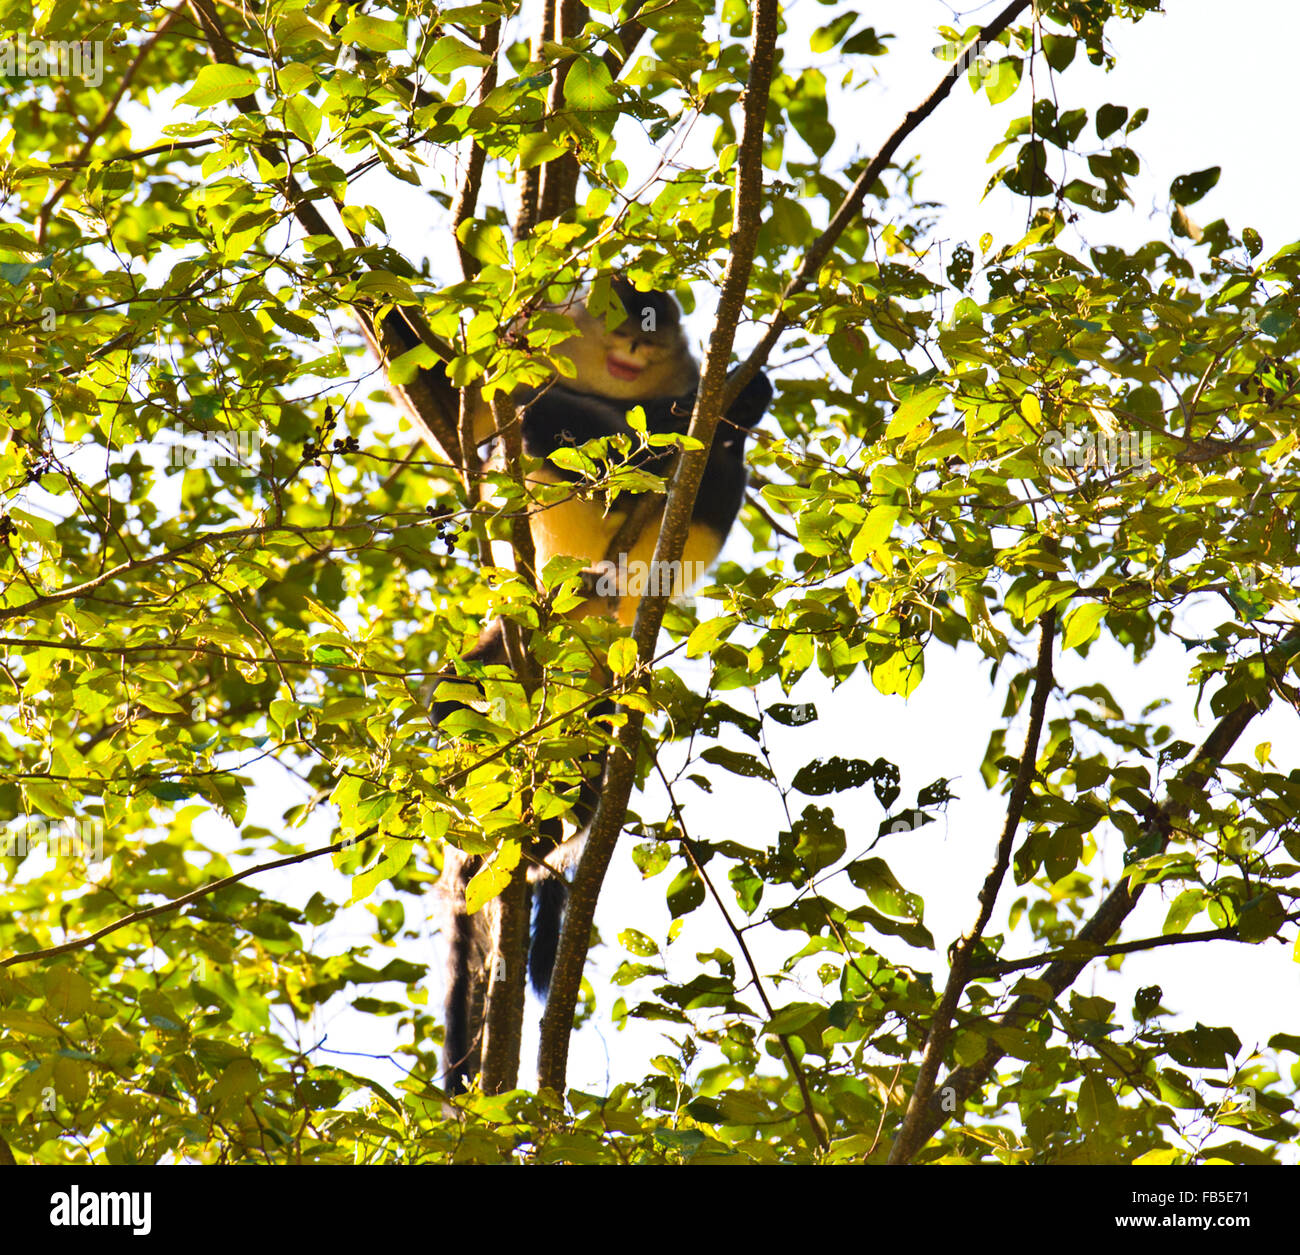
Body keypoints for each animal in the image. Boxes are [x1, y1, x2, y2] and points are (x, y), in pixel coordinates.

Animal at [434, 280, 772, 1094]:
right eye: (620, 312)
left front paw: (726, 406)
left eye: (656, 324)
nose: (637, 343)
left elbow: (706, 426)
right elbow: (489, 408)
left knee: (712, 475)